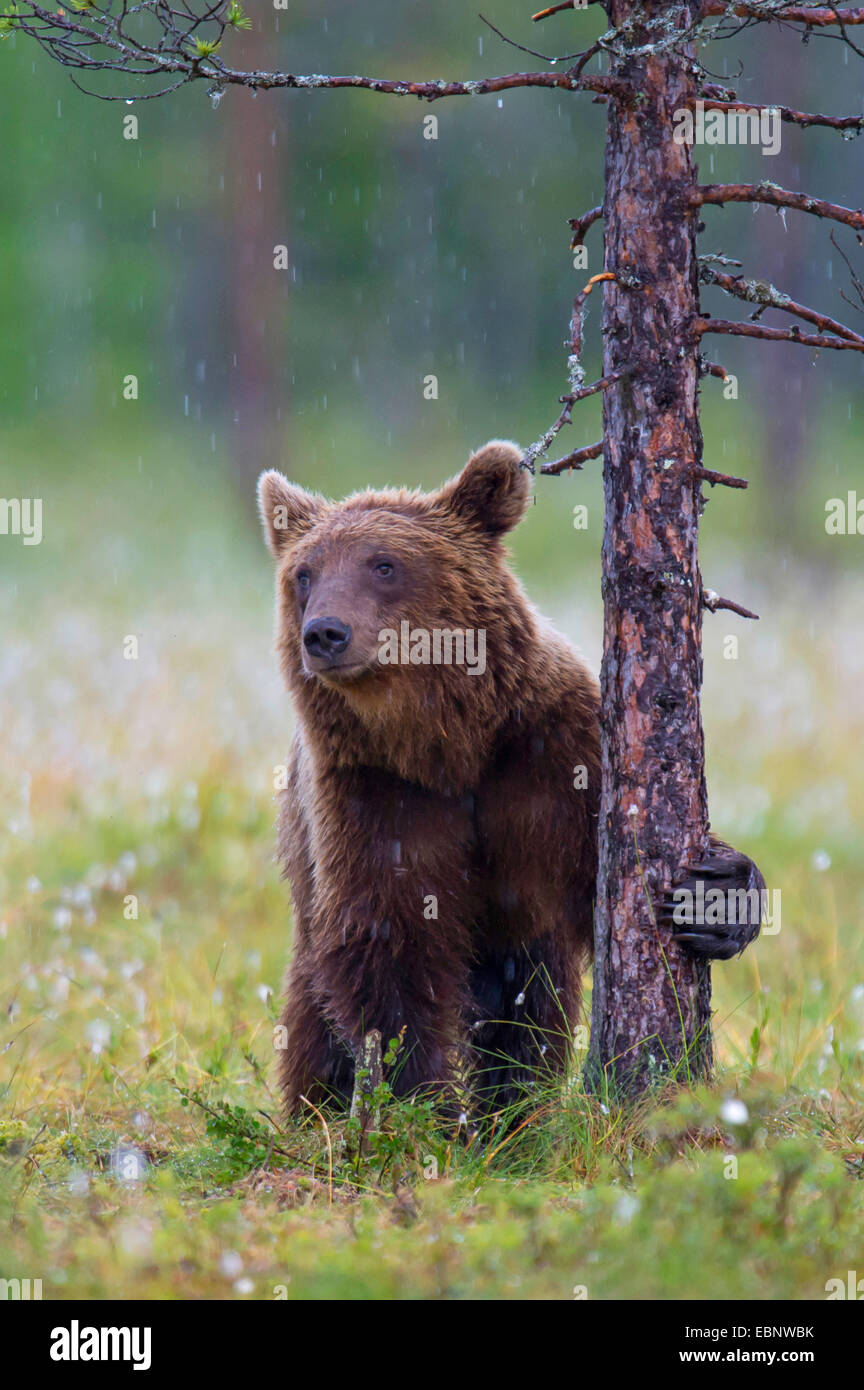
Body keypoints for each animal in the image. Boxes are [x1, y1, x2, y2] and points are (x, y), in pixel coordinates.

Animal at [257, 441, 763, 1115]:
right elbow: (389, 946)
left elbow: (600, 863)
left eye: (384, 564)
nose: (325, 633)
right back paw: (323, 1108)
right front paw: (426, 1104)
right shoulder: (373, 794)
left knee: (529, 1012)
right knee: (313, 1017)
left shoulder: (549, 754)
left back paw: (517, 1106)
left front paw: (715, 894)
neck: (448, 745)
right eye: (305, 574)